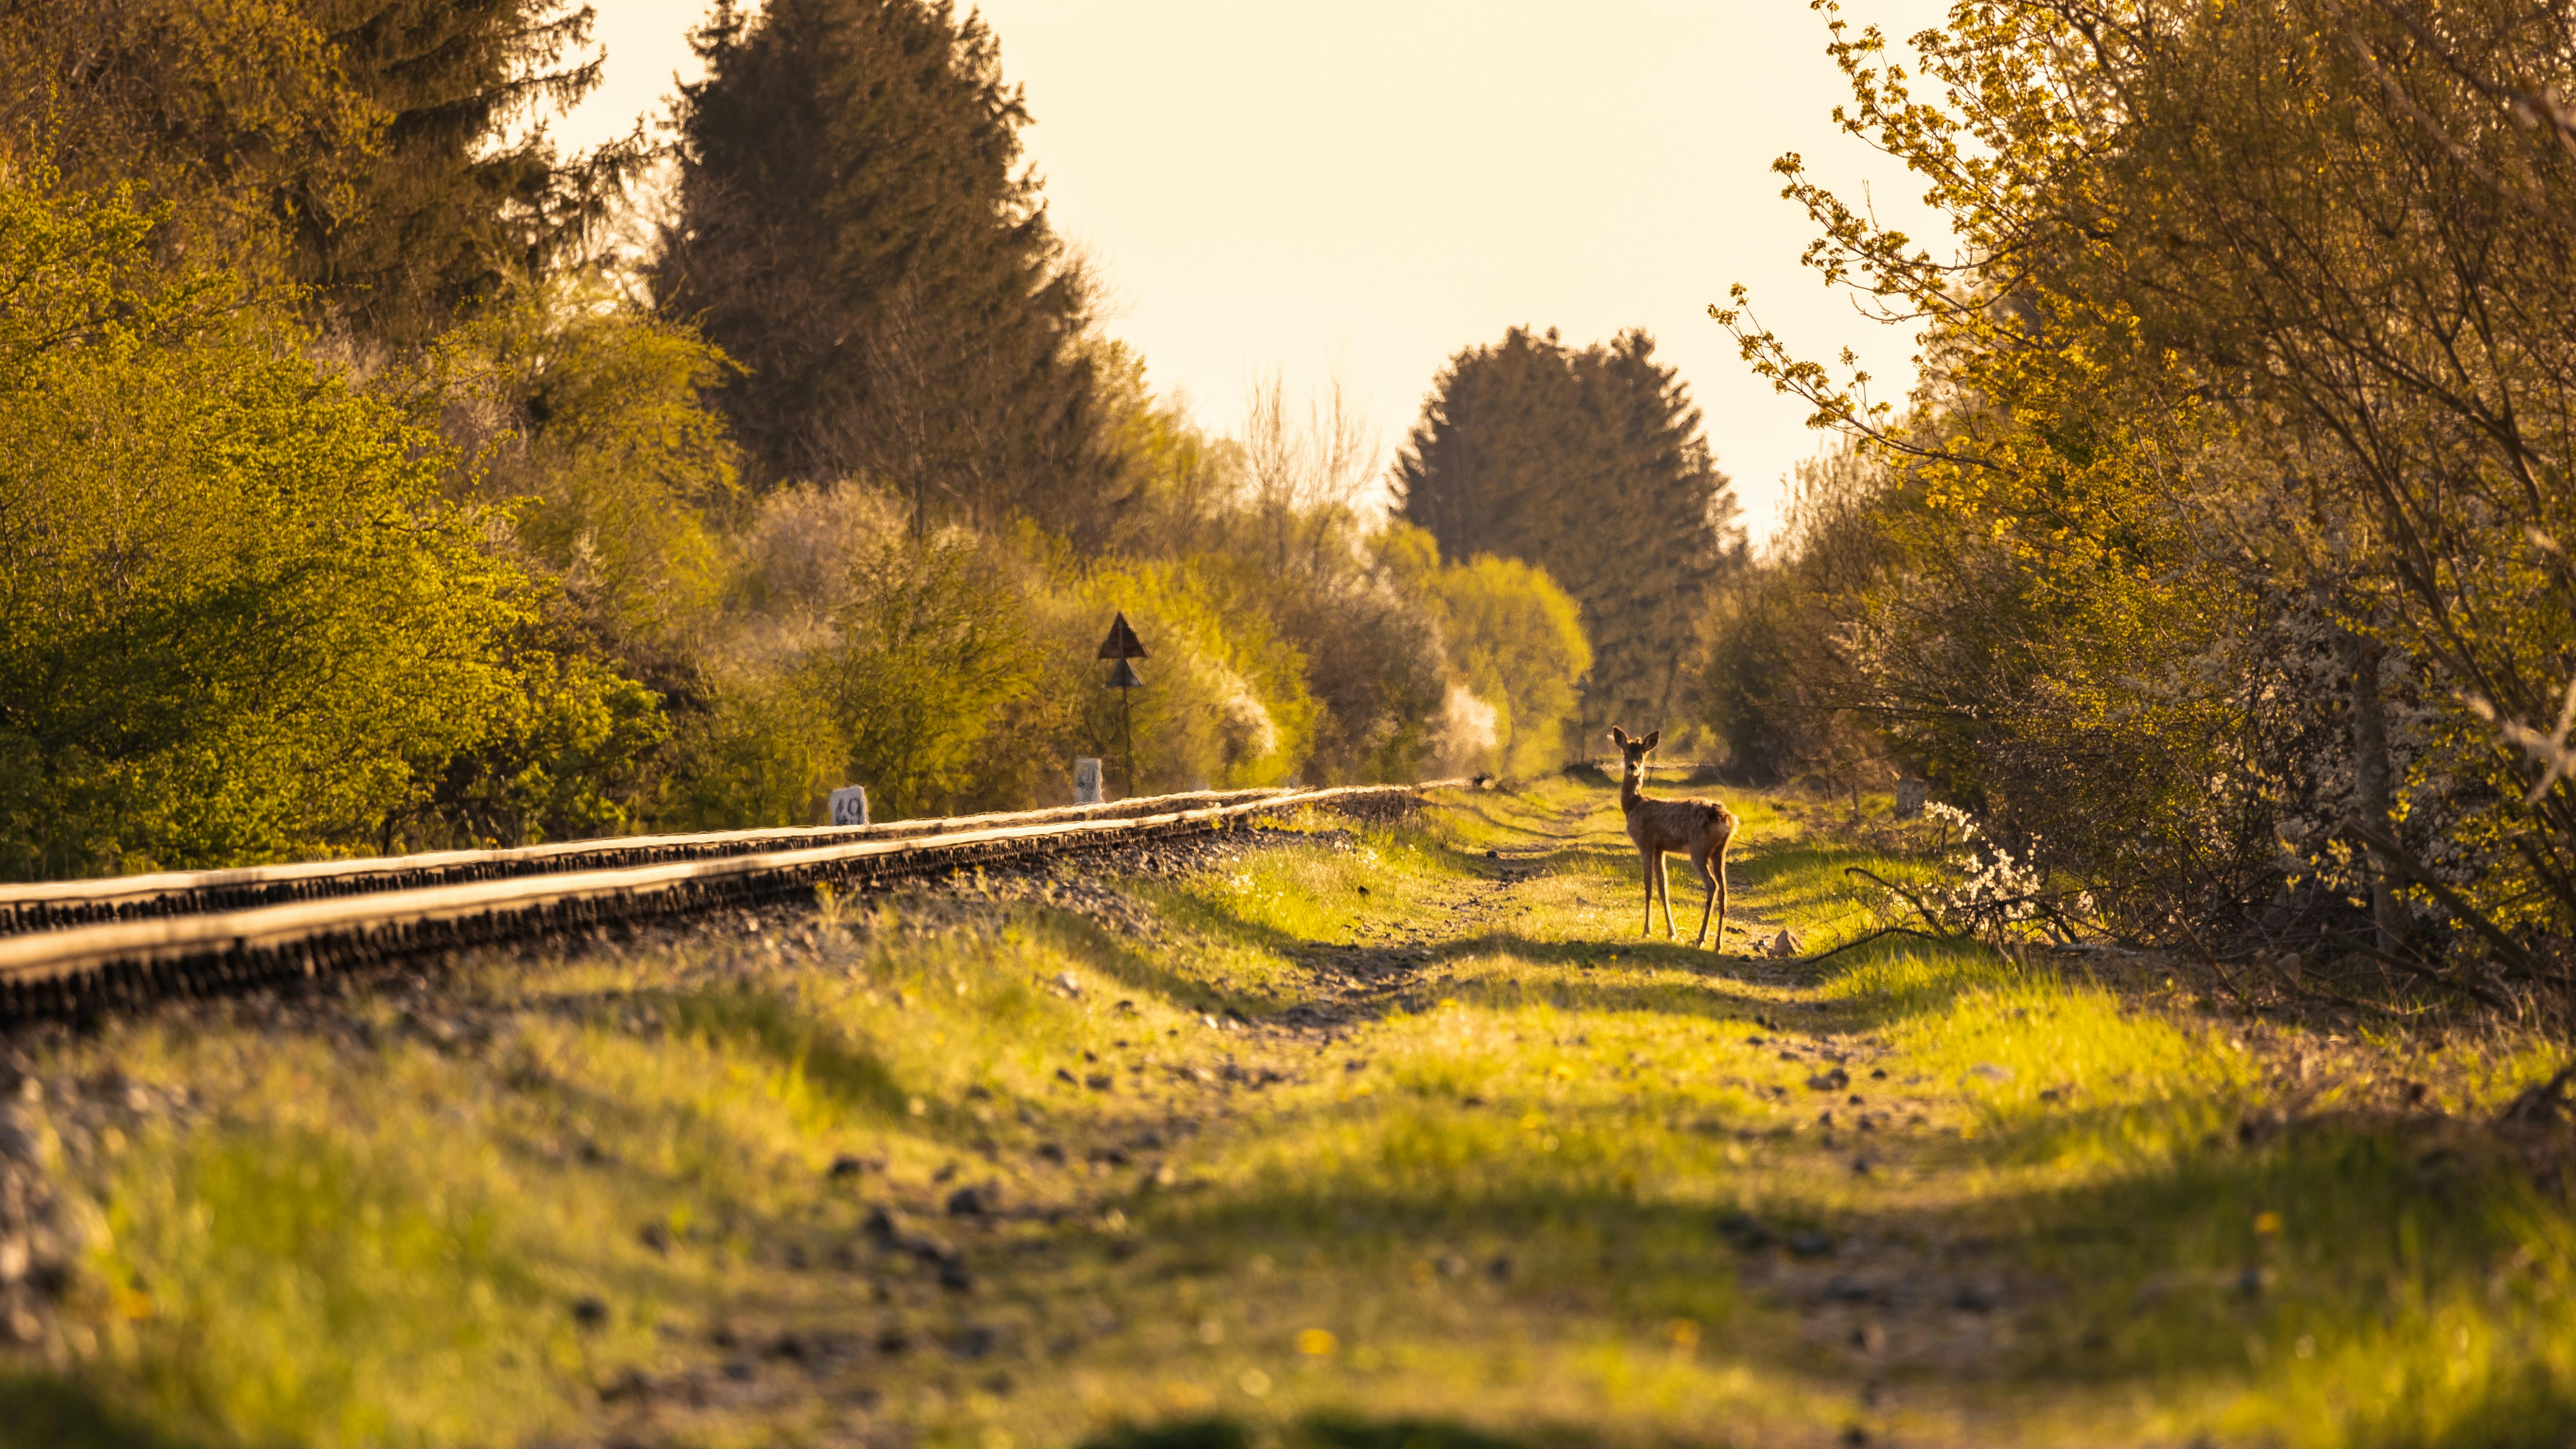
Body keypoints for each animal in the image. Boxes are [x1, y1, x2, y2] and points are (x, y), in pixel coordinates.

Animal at [1609, 726, 1738, 949]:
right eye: (1625, 753)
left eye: (1642, 755)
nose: (1632, 767)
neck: (1633, 805)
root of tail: (1727, 819)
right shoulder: (1661, 848)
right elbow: (1664, 888)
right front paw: (1672, 932)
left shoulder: (1645, 843)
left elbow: (1648, 885)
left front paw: (1647, 931)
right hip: (1719, 851)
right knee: (1724, 890)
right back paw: (1718, 944)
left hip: (1699, 849)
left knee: (1712, 886)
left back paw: (1701, 938)